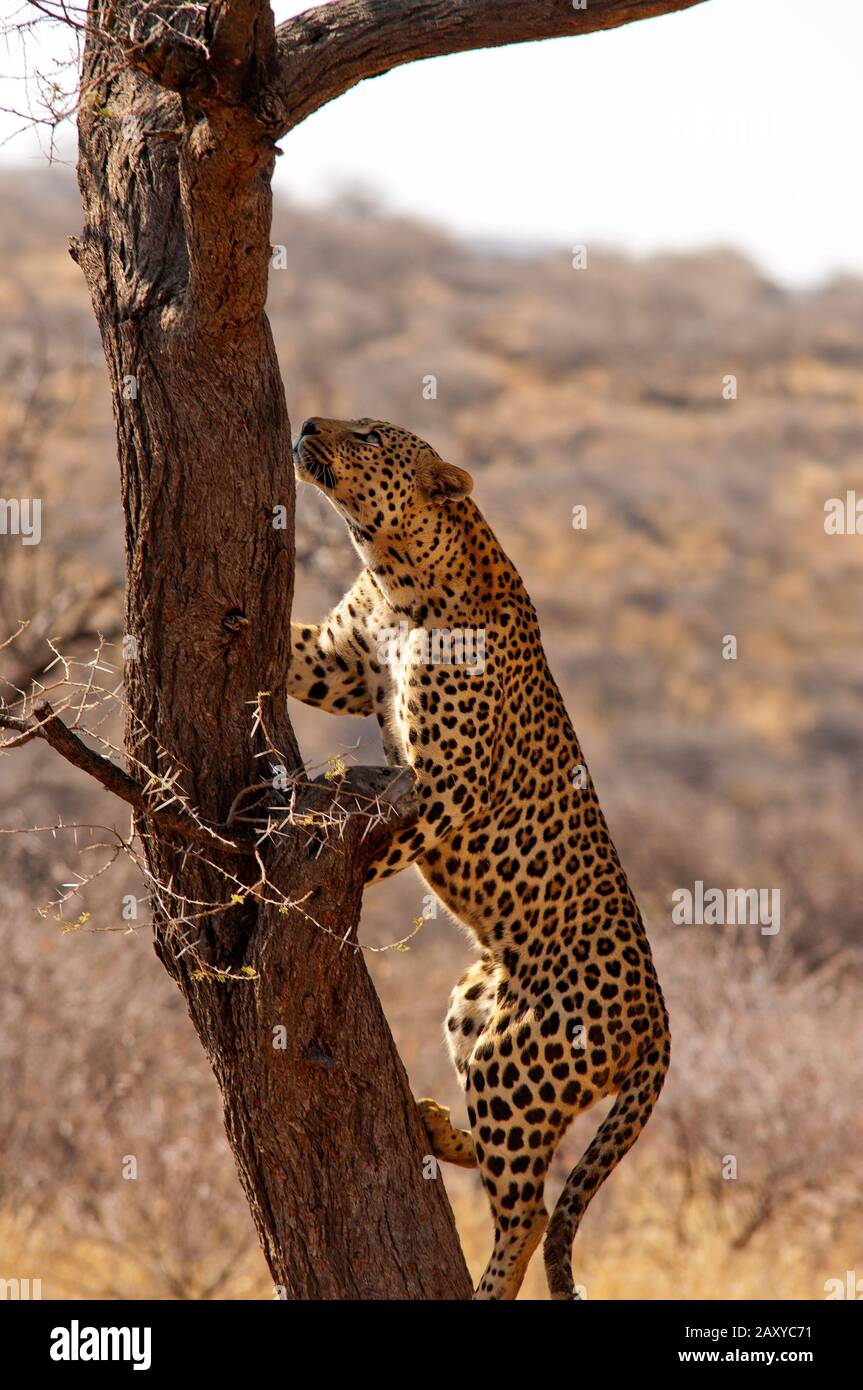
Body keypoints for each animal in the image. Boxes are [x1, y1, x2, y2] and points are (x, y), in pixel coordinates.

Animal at [289, 415, 671, 1300]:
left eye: (368, 435)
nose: (309, 422)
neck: (397, 571)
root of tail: (660, 1024)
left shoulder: (449, 788)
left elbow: (384, 847)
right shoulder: (332, 663)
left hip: (518, 1059)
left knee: (529, 1211)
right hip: (475, 1003)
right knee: (519, 1175)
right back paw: (434, 1126)